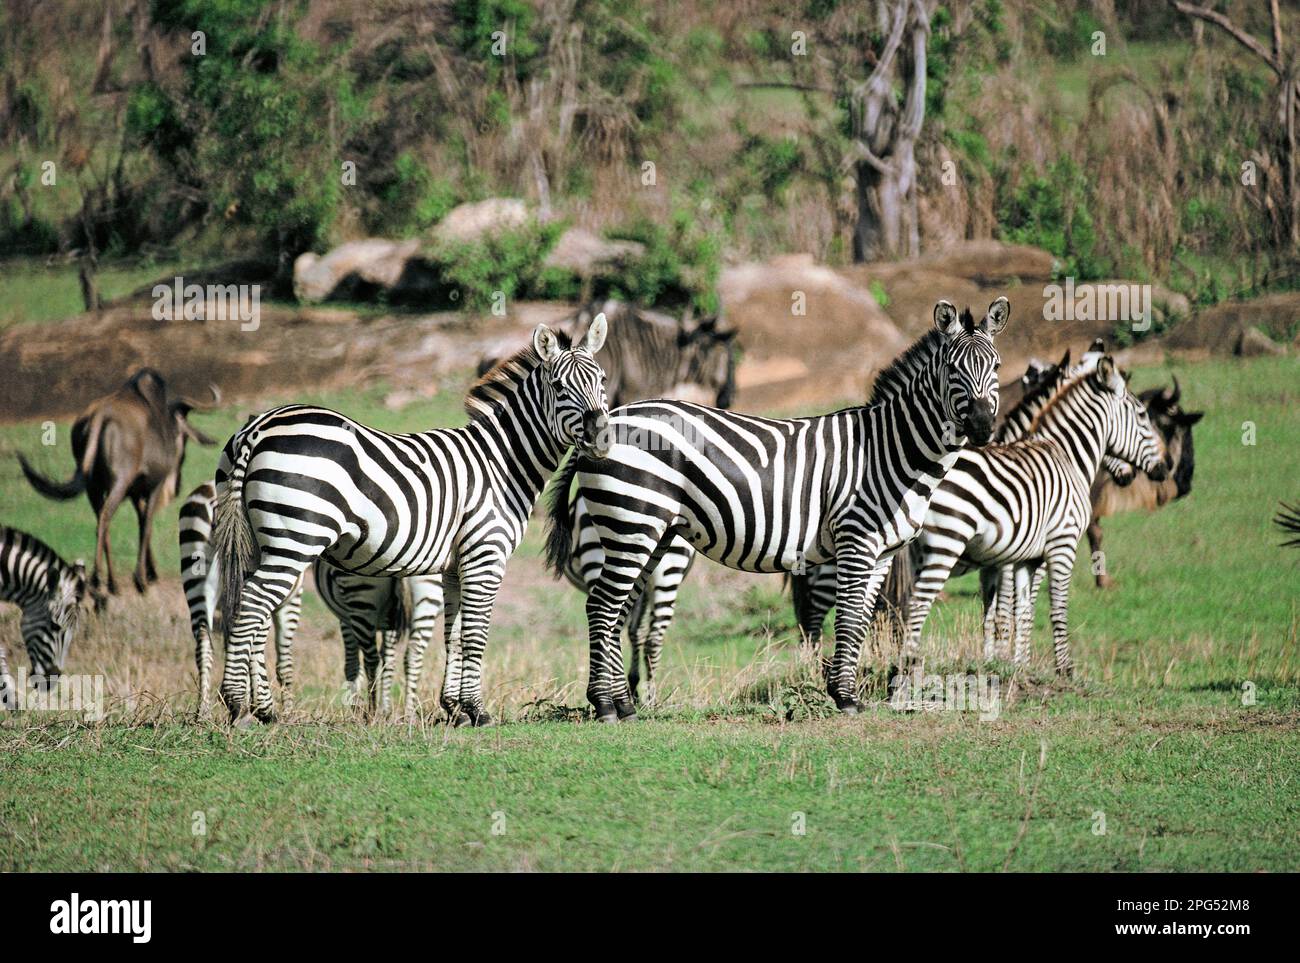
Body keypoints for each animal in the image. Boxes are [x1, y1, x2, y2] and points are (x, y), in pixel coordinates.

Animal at [312, 557, 444, 718]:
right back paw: (409, 713)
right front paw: (385, 708)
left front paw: (356, 707)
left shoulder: (345, 619)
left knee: (371, 659)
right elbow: (389, 659)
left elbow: (352, 665)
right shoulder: (391, 621)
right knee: (413, 655)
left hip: (360, 597)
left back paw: (371, 710)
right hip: (427, 596)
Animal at [547, 298, 1010, 720]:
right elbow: (847, 619)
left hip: (648, 532)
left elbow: (860, 620)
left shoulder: (883, 554)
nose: (983, 427)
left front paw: (849, 693)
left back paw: (624, 703)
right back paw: (604, 704)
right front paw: (844, 698)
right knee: (601, 606)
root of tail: (608, 418)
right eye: (952, 370)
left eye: (998, 367)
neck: (889, 451)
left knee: (619, 611)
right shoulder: (856, 541)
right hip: (632, 524)